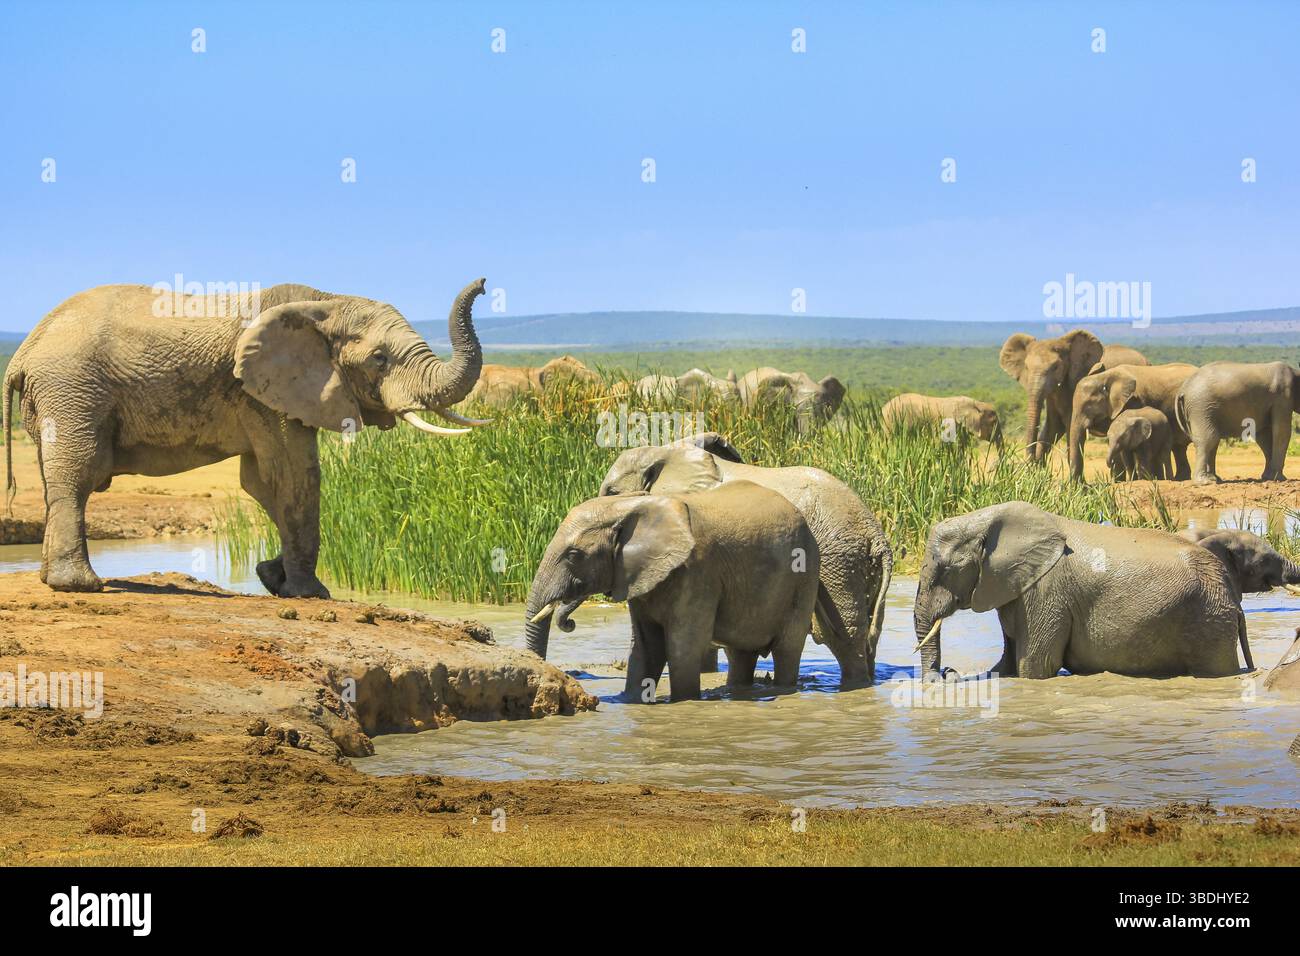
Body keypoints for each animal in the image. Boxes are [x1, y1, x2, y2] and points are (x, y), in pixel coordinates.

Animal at [2, 279, 488, 596]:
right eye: (380, 359)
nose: (483, 283)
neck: (326, 302)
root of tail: (23, 352)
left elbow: (262, 482)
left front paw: (272, 576)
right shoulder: (262, 393)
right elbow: (293, 476)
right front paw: (310, 594)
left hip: (56, 397)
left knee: (55, 481)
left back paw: (52, 580)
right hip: (72, 390)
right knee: (78, 476)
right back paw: (80, 586)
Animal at [523, 481, 821, 702]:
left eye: (574, 555)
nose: (570, 622)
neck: (631, 506)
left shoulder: (697, 571)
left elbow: (682, 647)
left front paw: (683, 701)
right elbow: (646, 648)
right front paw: (631, 700)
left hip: (804, 576)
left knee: (787, 648)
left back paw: (781, 690)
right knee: (740, 654)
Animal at [598, 433, 892, 683]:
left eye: (612, 492)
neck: (666, 452)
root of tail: (875, 534)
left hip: (837, 563)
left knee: (843, 634)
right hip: (859, 567)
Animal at [913, 502, 1253, 679]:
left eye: (946, 569)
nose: (947, 672)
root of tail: (1233, 599)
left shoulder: (1046, 592)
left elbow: (1035, 667)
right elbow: (1007, 666)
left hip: (1209, 621)